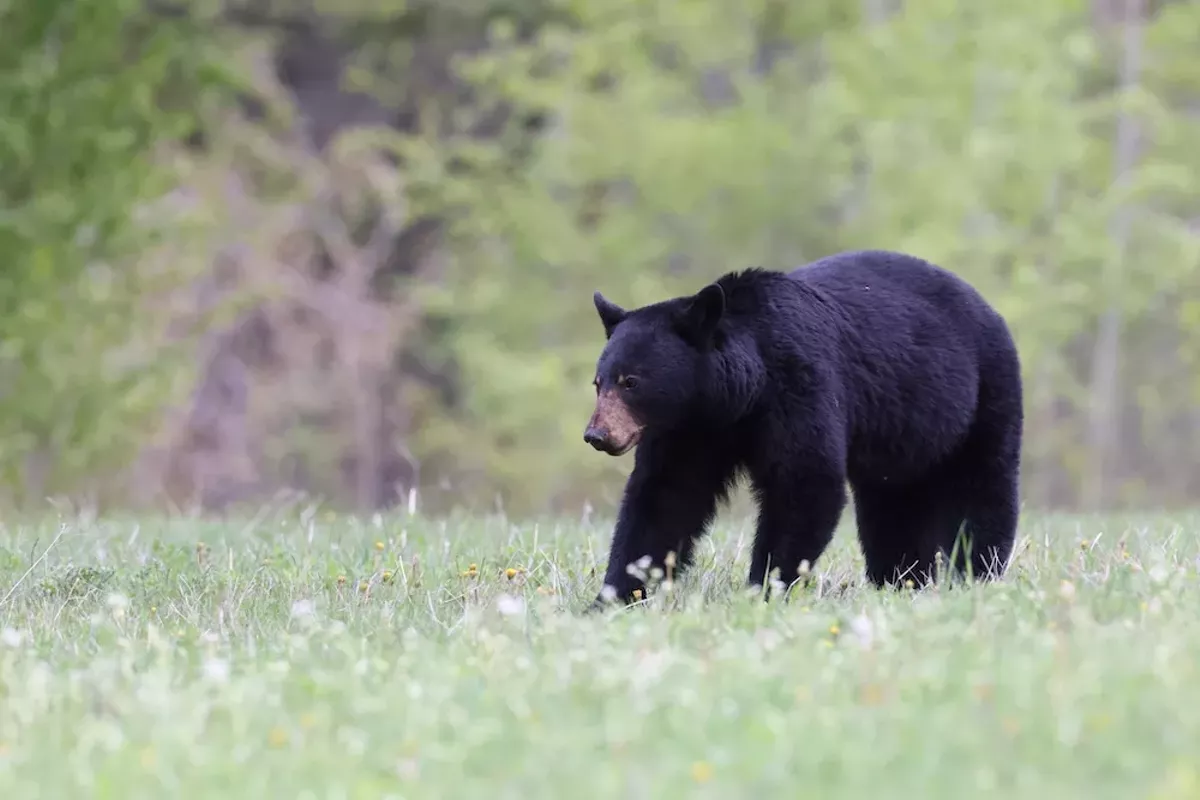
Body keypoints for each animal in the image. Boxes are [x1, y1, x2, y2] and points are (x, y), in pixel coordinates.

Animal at [582, 249, 1023, 609]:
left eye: (631, 381)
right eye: (599, 382)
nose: (597, 435)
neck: (739, 396)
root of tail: (985, 304)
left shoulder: (799, 387)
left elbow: (805, 484)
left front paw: (763, 589)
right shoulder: (690, 432)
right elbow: (665, 497)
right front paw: (615, 596)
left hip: (983, 392)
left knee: (981, 487)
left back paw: (973, 573)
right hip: (905, 434)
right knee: (894, 503)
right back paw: (901, 578)